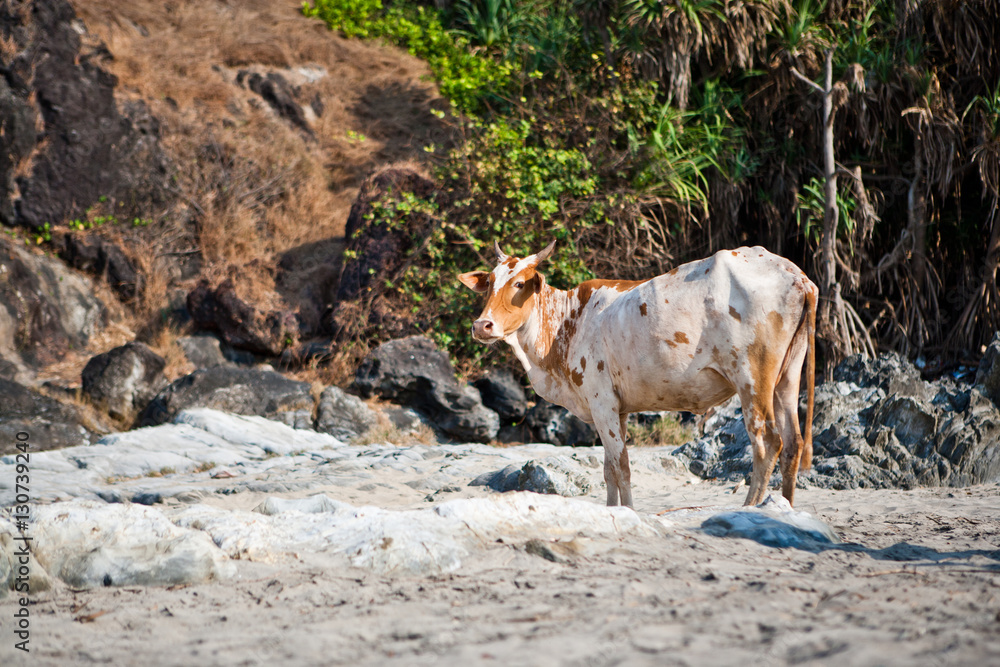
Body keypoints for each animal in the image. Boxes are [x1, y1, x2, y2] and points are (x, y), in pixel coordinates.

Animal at [459, 241, 817, 508]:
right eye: (489, 285)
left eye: (519, 284)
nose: (481, 325)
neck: (566, 322)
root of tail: (797, 275)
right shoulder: (616, 410)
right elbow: (608, 469)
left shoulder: (602, 402)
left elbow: (621, 466)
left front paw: (628, 511)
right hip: (787, 377)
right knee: (793, 442)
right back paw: (782, 509)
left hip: (752, 379)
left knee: (767, 442)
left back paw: (750, 508)